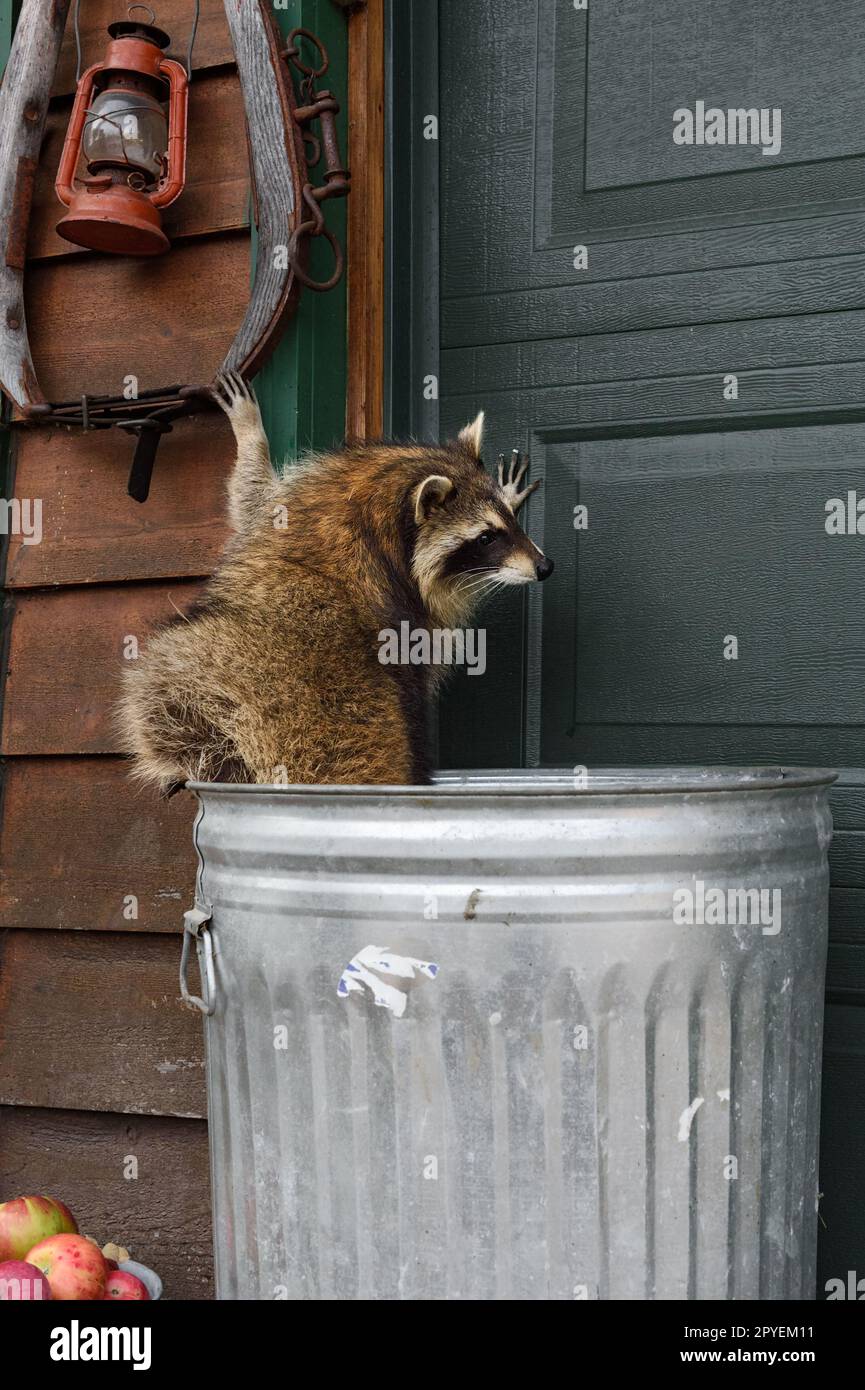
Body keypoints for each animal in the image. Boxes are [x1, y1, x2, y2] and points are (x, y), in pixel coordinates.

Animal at [119, 372, 553, 790]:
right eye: (487, 537)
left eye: (508, 523)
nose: (545, 567)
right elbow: (251, 500)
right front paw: (250, 431)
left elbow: (251, 502)